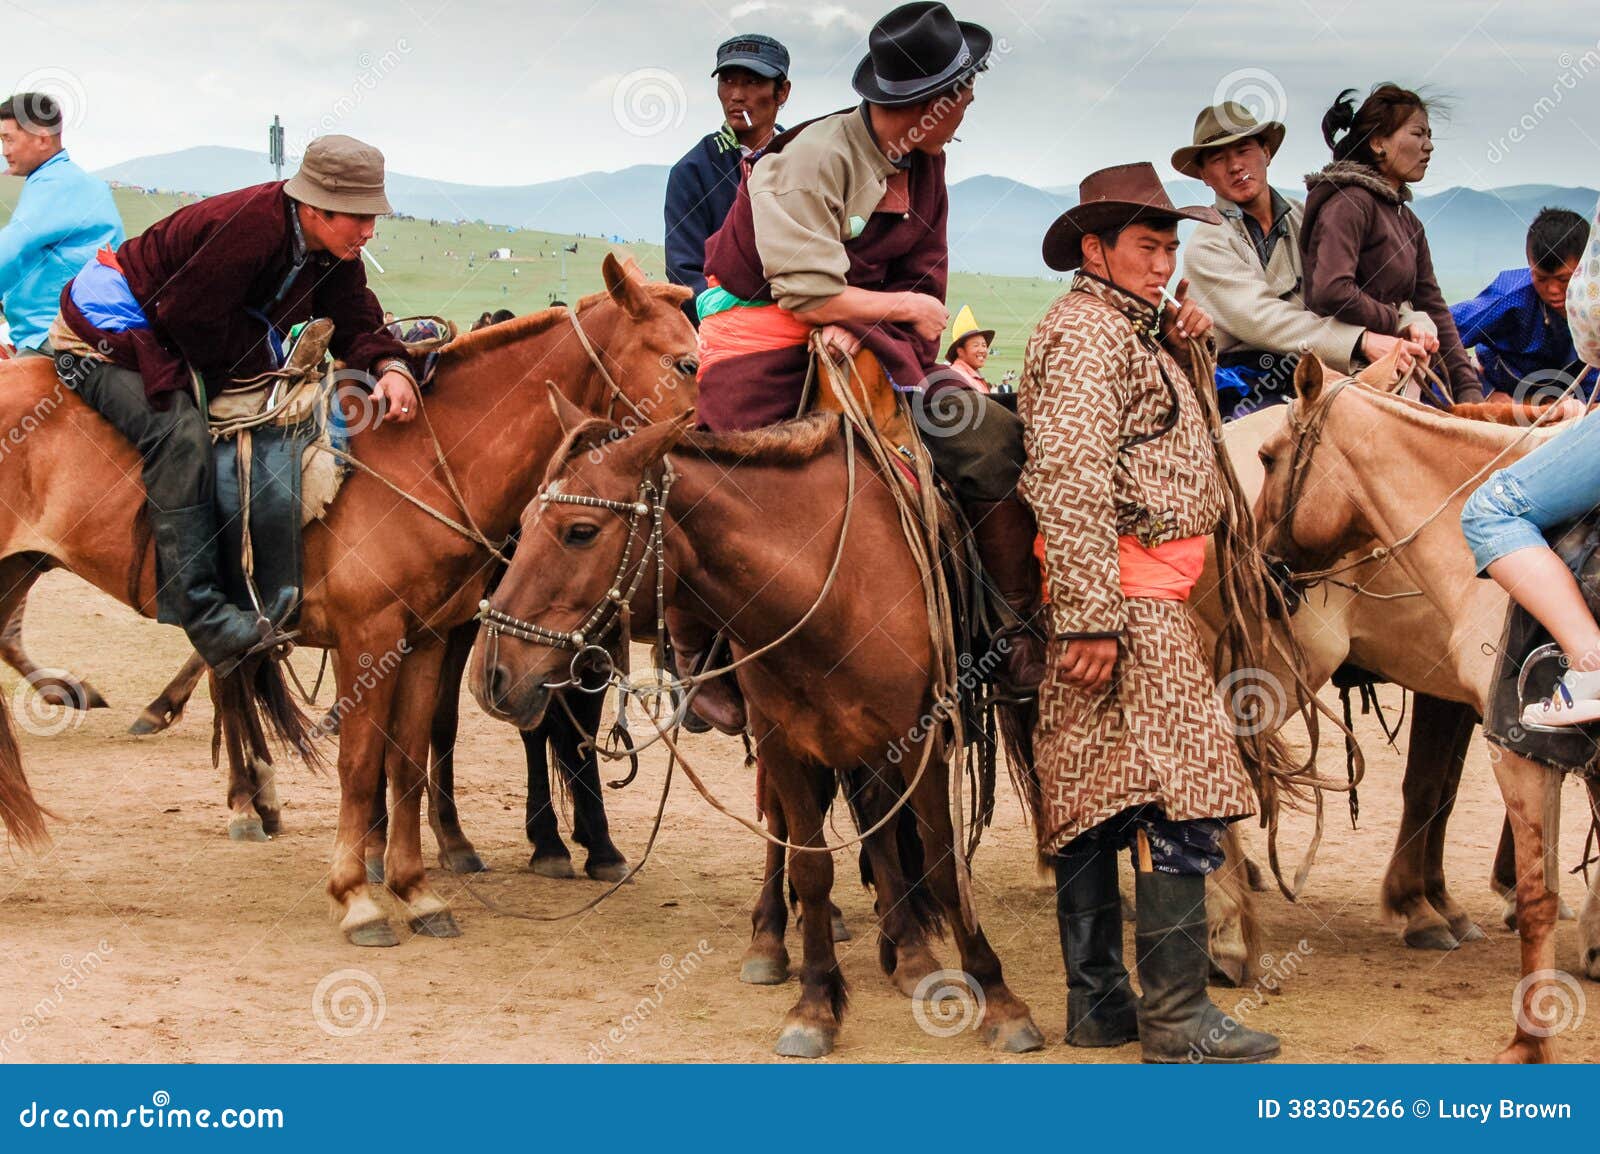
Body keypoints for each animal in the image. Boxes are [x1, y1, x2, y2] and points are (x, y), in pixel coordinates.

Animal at [0, 254, 699, 947]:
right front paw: (358, 897)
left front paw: (417, 892)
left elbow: (410, 761)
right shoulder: (368, 638)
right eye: (686, 362)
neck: (425, 461)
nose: (700, 453)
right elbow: (362, 765)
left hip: (21, 568)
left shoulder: (428, 639)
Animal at [469, 395, 1045, 1058]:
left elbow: (942, 863)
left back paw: (910, 951)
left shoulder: (919, 736)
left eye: (580, 531)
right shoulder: (784, 741)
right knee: (791, 830)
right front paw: (816, 1004)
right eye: (524, 522)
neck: (834, 586)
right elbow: (811, 868)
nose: (490, 674)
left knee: (875, 824)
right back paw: (772, 940)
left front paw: (999, 998)